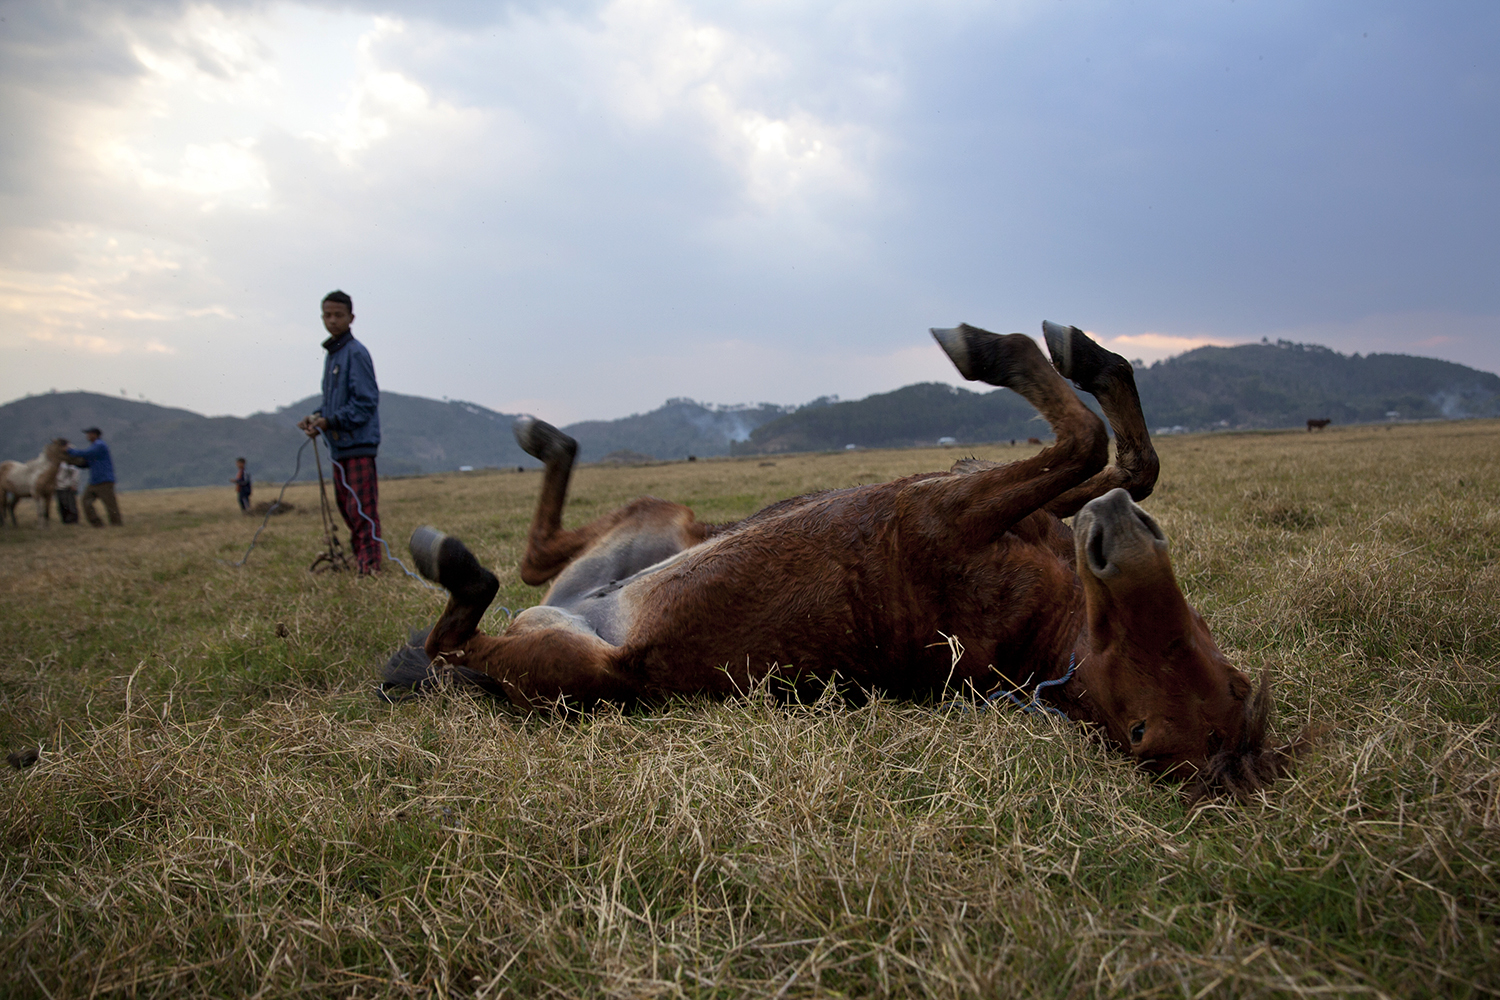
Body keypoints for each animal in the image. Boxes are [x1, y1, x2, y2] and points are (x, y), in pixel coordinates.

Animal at [384, 323, 1306, 801]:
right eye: (1230, 673)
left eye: (1142, 734)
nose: (1117, 542)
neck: (1040, 632)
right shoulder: (1023, 508)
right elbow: (1126, 458)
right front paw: (1083, 353)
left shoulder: (942, 514)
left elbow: (1083, 438)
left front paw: (989, 349)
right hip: (655, 528)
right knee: (534, 558)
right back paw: (546, 441)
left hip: (569, 663)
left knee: (470, 617)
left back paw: (454, 562)